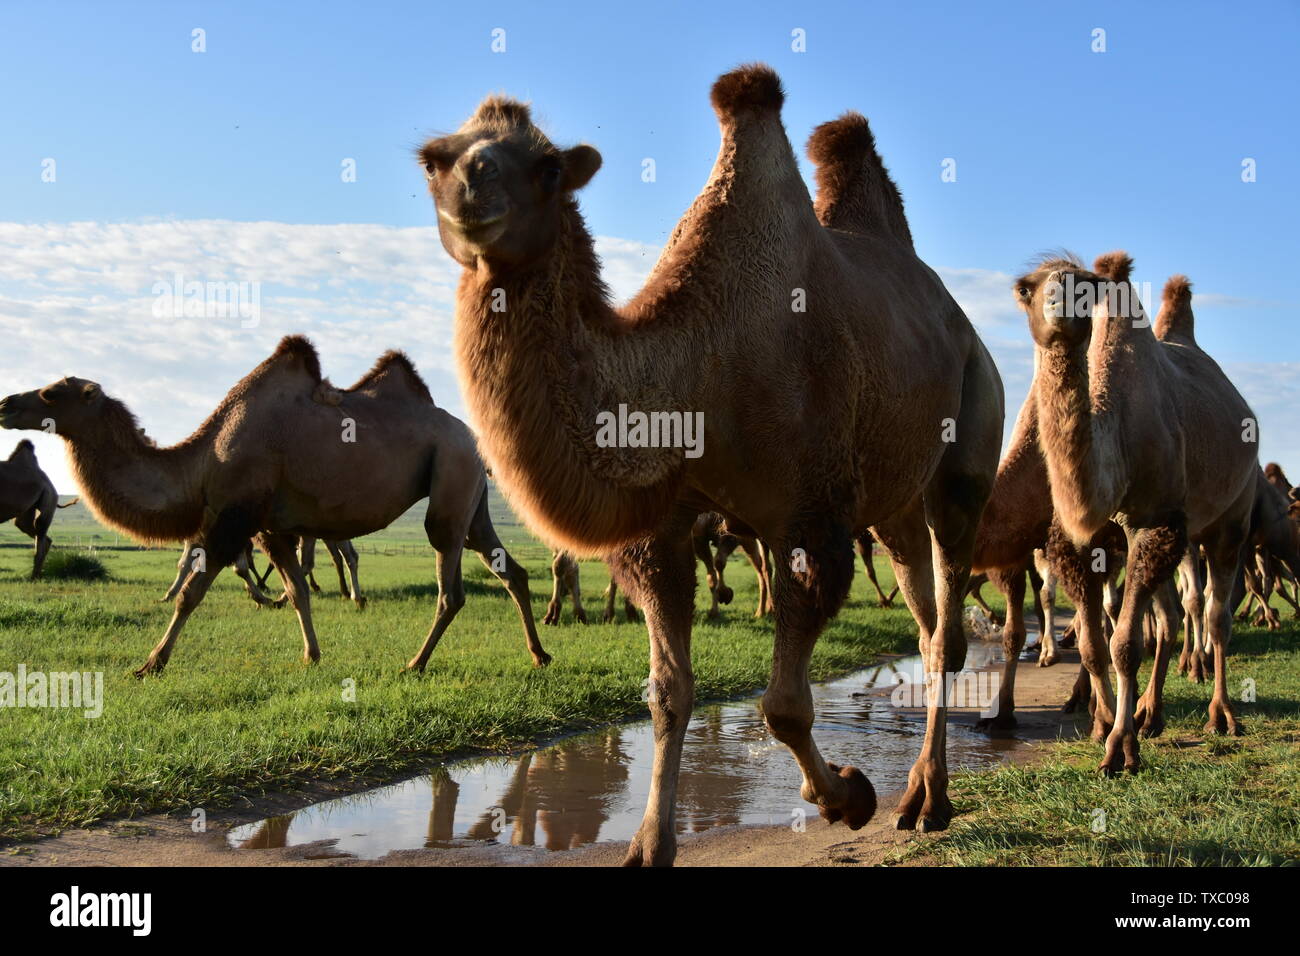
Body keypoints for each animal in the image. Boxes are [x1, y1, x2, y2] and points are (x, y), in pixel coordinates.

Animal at [0, 440, 77, 578]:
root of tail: (52, 487)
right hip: (28, 511)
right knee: (37, 533)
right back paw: (37, 574)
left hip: (48, 497)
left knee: (40, 530)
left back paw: (34, 577)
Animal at [420, 64, 1003, 865]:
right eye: (433, 158)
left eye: (546, 166)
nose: (470, 187)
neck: (701, 370)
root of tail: (959, 318)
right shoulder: (662, 530)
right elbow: (669, 693)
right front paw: (648, 844)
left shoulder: (810, 518)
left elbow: (783, 705)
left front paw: (848, 797)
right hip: (892, 505)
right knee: (924, 615)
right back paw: (915, 789)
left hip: (968, 443)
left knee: (946, 620)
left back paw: (929, 799)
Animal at [1017, 257, 1256, 774]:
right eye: (1025, 288)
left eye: (1086, 284)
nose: (1059, 300)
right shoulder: (1083, 538)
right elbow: (1095, 643)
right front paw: (1106, 724)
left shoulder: (1155, 522)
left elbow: (1125, 644)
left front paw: (1120, 748)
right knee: (1171, 615)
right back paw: (1152, 713)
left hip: (1232, 517)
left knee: (1216, 614)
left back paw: (1220, 715)